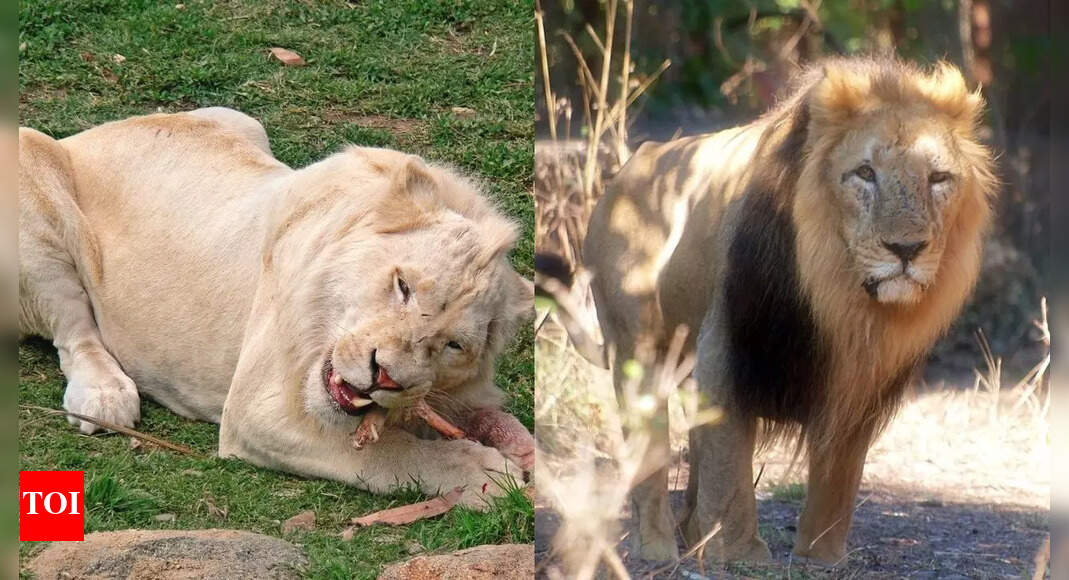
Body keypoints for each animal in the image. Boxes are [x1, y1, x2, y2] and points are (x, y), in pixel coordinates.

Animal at [19, 107, 534, 507]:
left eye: (453, 345)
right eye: (403, 285)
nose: (384, 375)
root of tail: (86, 134)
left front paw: (524, 449)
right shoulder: (256, 412)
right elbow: (392, 454)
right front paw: (486, 474)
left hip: (240, 119)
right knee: (74, 330)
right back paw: (104, 396)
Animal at [539, 58, 996, 564]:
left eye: (938, 179)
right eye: (865, 173)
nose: (907, 249)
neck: (841, 301)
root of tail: (623, 175)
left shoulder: (856, 382)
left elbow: (839, 475)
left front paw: (821, 555)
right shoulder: (727, 349)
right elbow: (730, 466)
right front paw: (739, 553)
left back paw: (692, 533)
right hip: (636, 347)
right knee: (651, 454)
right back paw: (657, 547)